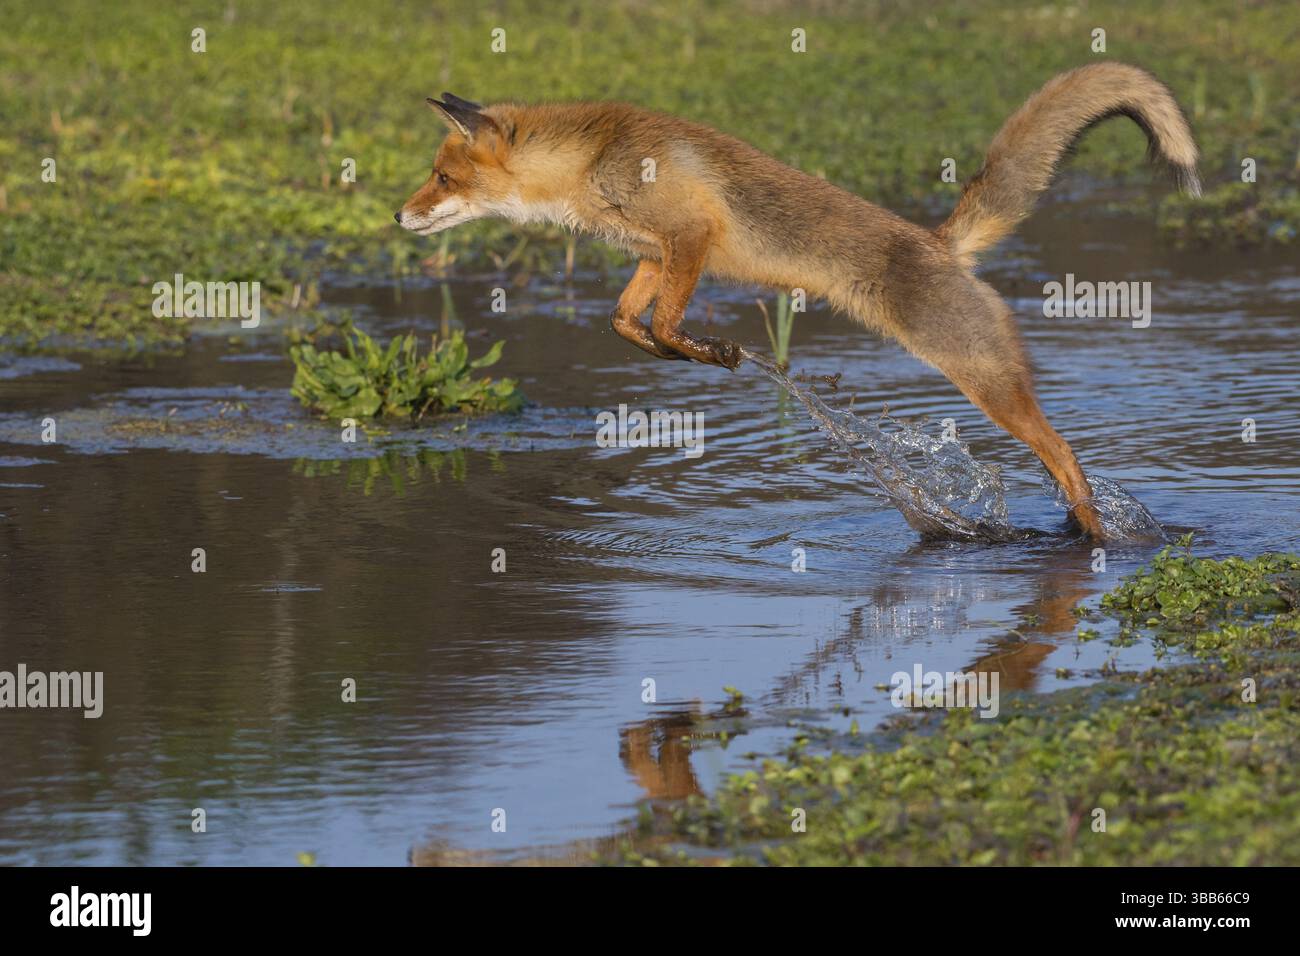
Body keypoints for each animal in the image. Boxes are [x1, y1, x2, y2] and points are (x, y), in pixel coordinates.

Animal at [395, 63, 1201, 540]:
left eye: (442, 176)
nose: (398, 216)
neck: (592, 161)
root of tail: (941, 244)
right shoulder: (657, 250)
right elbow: (626, 319)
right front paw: (681, 351)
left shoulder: (692, 234)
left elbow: (665, 319)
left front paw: (707, 351)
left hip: (985, 378)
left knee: (1066, 456)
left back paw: (1093, 536)